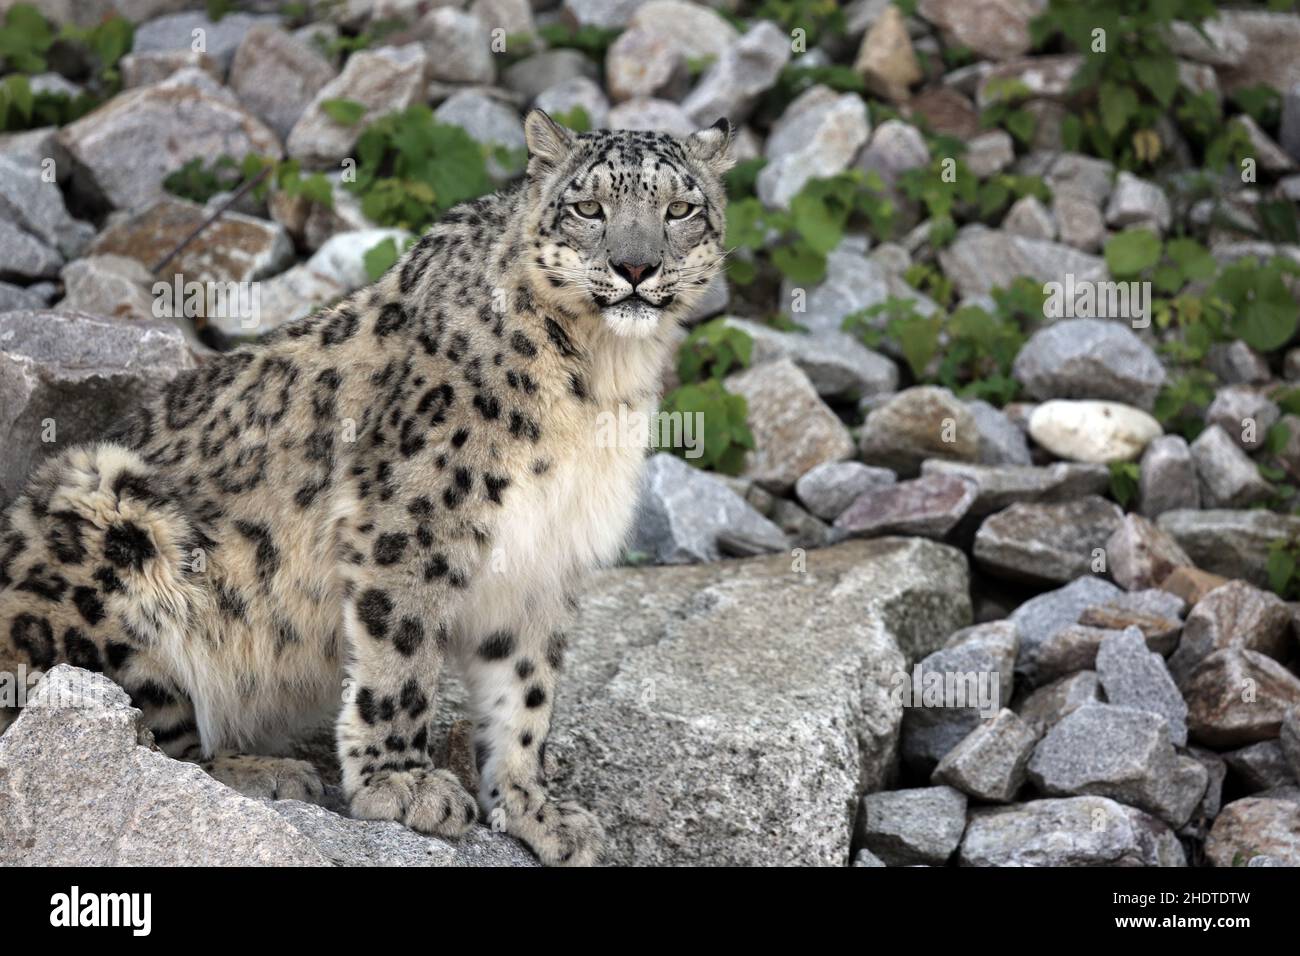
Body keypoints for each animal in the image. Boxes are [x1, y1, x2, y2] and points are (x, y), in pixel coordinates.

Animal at [0, 111, 735, 866]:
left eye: (680, 210)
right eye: (589, 208)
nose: (637, 267)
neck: (600, 378)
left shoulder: (546, 554)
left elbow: (526, 689)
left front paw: (536, 809)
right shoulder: (414, 520)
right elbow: (399, 655)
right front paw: (402, 785)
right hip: (113, 523)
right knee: (133, 738)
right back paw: (265, 773)